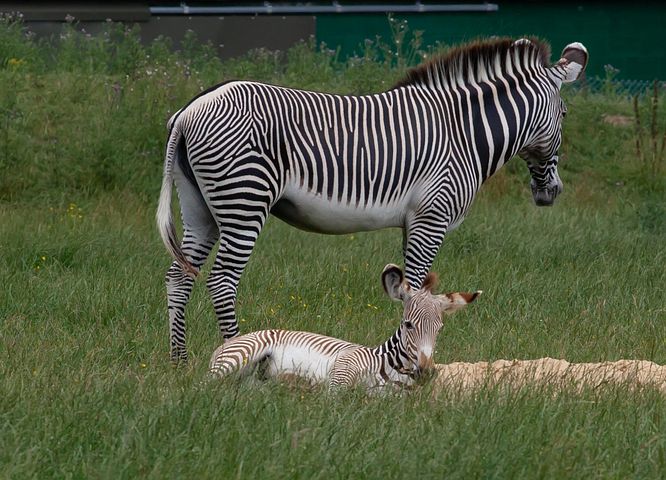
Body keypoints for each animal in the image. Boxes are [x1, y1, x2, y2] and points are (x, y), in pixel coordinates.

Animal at [157, 37, 588, 362]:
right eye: (565, 114)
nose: (552, 193)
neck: (464, 132)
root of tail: (189, 110)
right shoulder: (432, 216)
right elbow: (415, 286)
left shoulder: (414, 221)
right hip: (244, 200)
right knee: (221, 280)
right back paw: (235, 351)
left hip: (200, 209)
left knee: (179, 276)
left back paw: (180, 363)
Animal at [209, 264, 480, 390]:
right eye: (408, 325)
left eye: (439, 329)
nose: (426, 372)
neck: (389, 367)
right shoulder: (341, 371)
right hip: (240, 357)